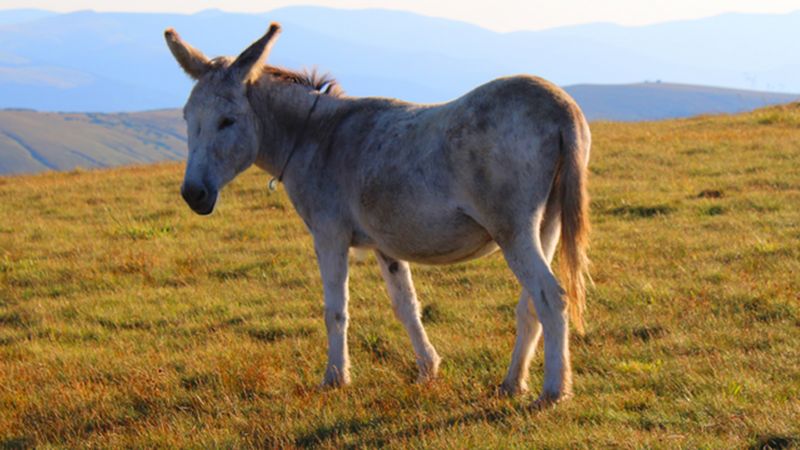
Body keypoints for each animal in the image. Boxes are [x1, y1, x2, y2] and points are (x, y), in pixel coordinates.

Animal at [164, 22, 591, 405]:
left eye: (227, 121)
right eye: (186, 118)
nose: (193, 194)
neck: (312, 137)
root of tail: (561, 107)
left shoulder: (329, 235)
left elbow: (335, 310)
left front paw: (335, 378)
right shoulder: (387, 245)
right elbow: (407, 308)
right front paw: (428, 369)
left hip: (512, 229)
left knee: (551, 296)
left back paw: (553, 392)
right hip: (546, 223)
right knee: (530, 305)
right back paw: (513, 383)